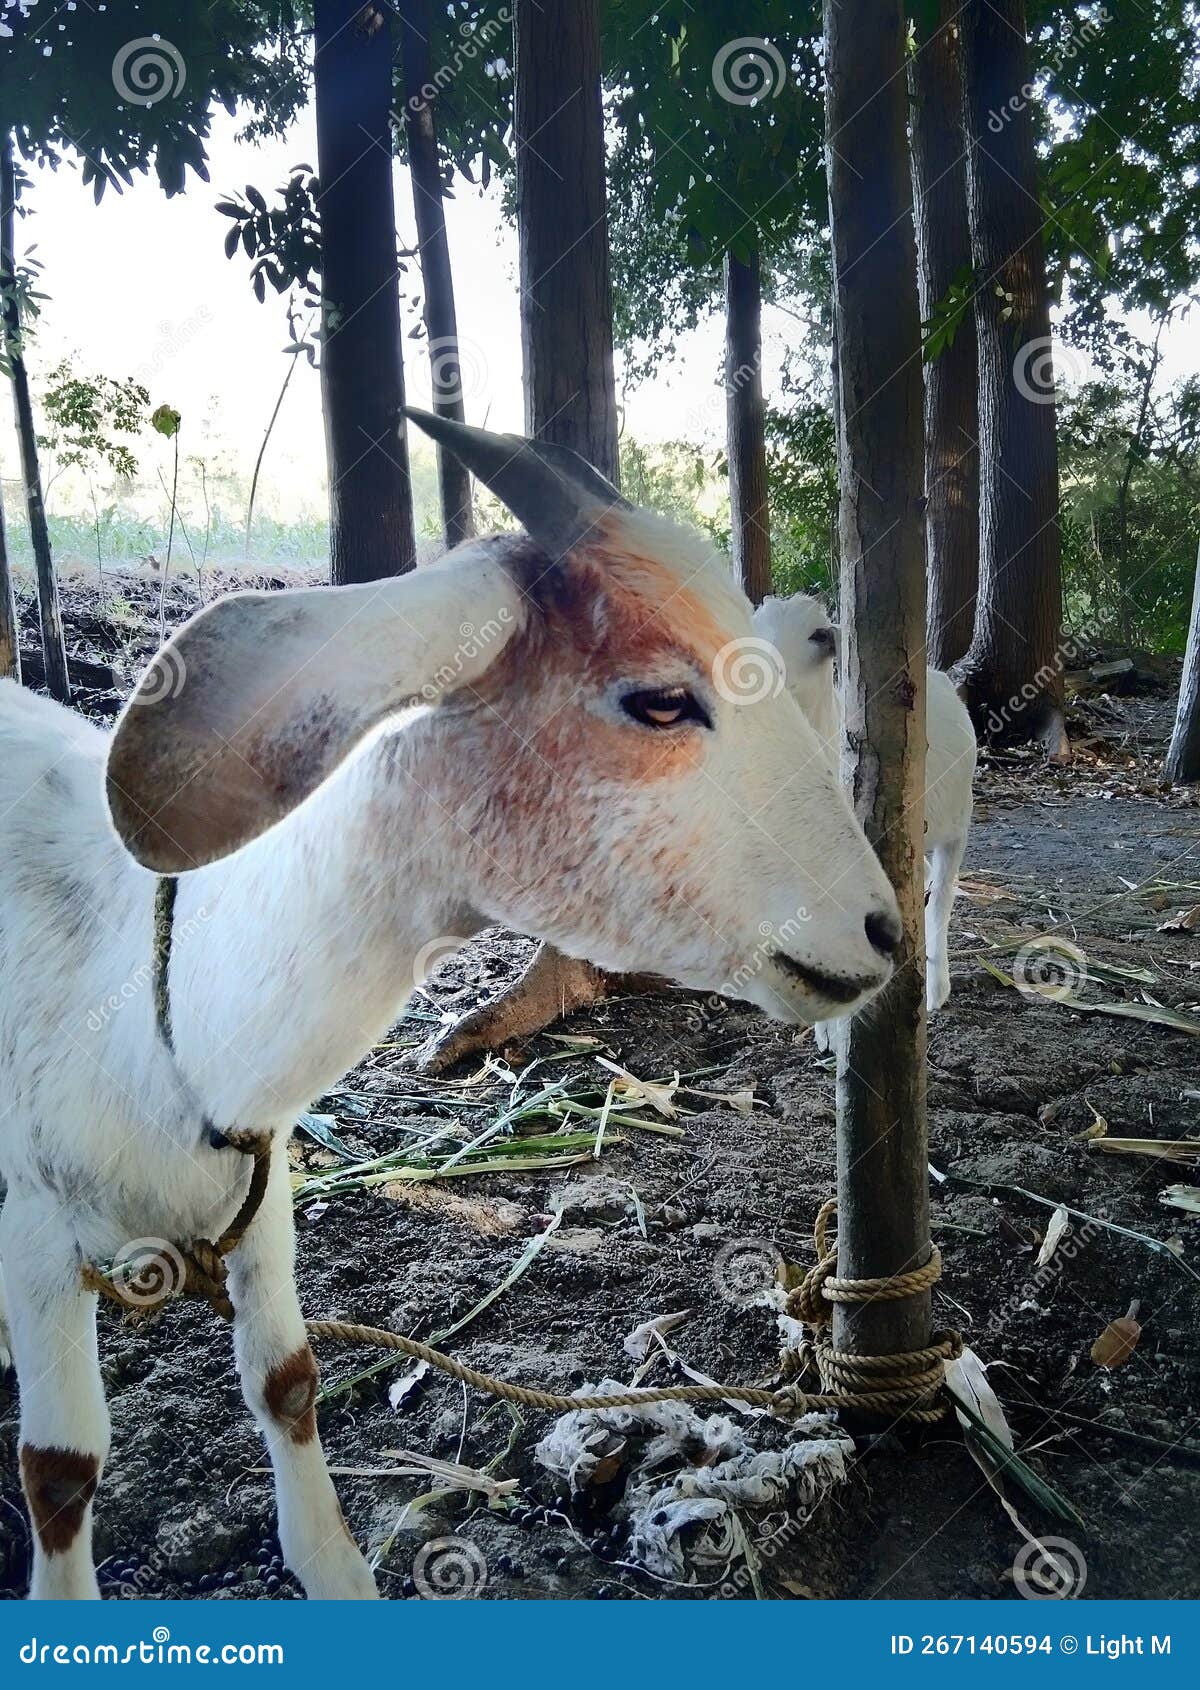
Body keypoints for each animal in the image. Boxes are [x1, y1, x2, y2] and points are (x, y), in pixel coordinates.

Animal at [0, 413, 901, 1601]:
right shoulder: (34, 1229)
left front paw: (337, 1571)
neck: (161, 1021)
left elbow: (288, 1378)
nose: (879, 931)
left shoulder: (264, 1185)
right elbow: (61, 1470)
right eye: (661, 699)